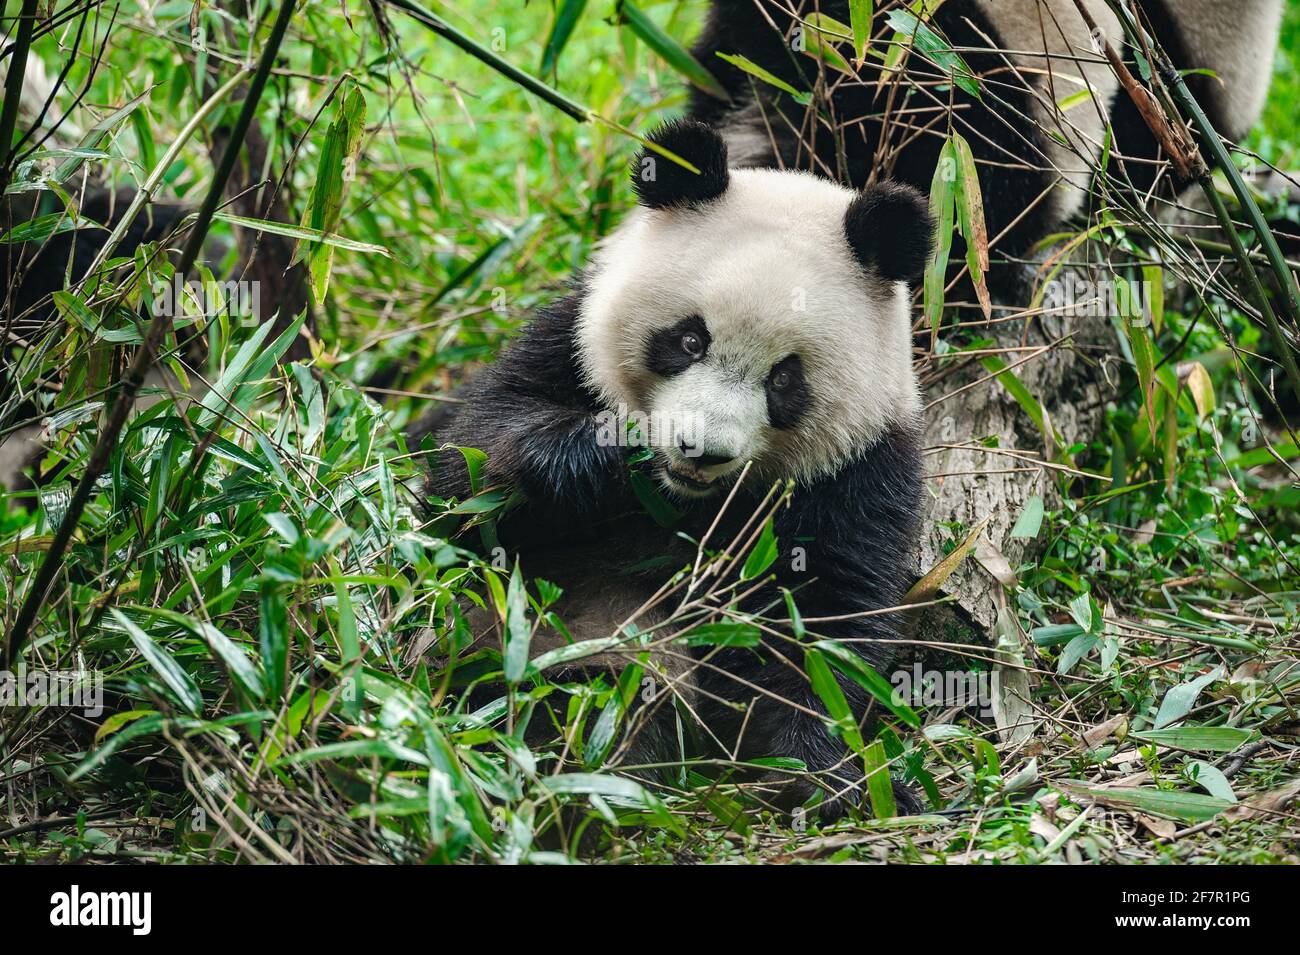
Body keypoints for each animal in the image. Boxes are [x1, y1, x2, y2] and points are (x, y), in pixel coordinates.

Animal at [428, 120, 933, 818]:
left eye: (786, 378)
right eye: (690, 339)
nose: (700, 449)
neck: (684, 500)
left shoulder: (861, 469)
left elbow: (825, 623)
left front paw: (828, 778)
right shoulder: (565, 347)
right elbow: (467, 484)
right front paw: (596, 456)